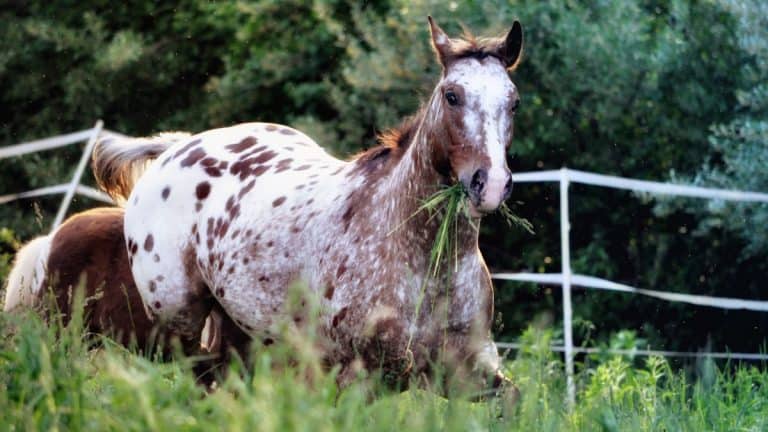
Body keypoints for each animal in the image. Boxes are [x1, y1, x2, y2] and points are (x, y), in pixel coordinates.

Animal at [91, 17, 524, 395]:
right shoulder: (360, 375)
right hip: (179, 321)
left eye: (514, 102)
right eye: (452, 96)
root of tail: (178, 147)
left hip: (238, 328)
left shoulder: (472, 372)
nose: (490, 184)